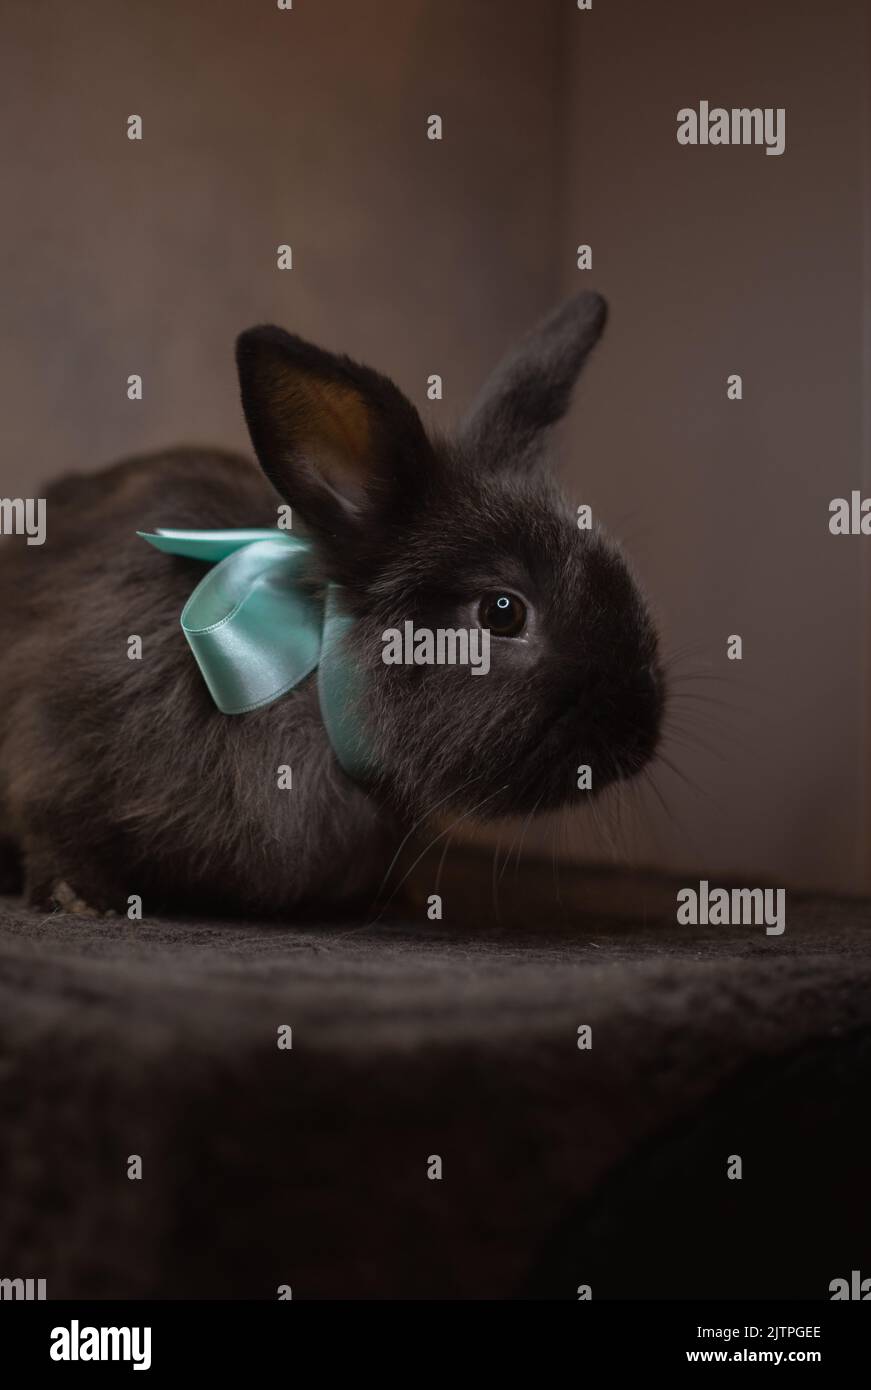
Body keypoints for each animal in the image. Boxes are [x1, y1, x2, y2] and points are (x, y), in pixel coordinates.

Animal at [0, 291, 664, 918]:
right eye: (502, 612)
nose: (640, 732)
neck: (310, 677)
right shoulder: (54, 741)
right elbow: (54, 826)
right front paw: (77, 898)